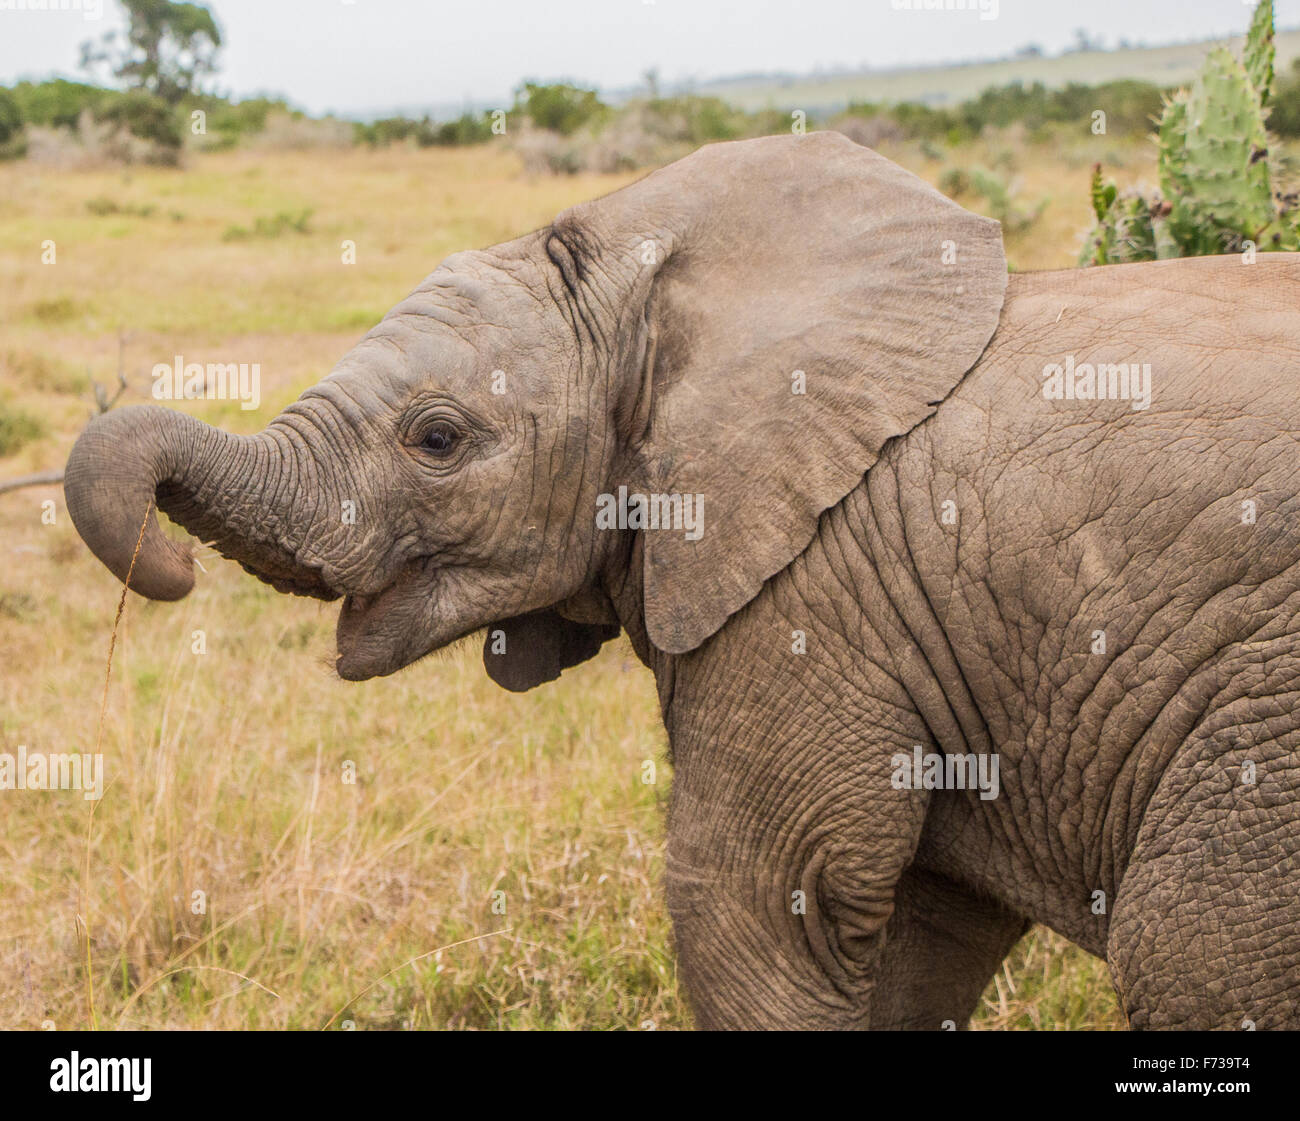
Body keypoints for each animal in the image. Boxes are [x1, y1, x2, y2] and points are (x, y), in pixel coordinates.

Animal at [64, 132, 1300, 1030]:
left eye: (438, 439)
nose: (167, 566)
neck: (647, 269)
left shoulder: (810, 597)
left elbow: (755, 911)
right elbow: (916, 936)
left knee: (1188, 950)